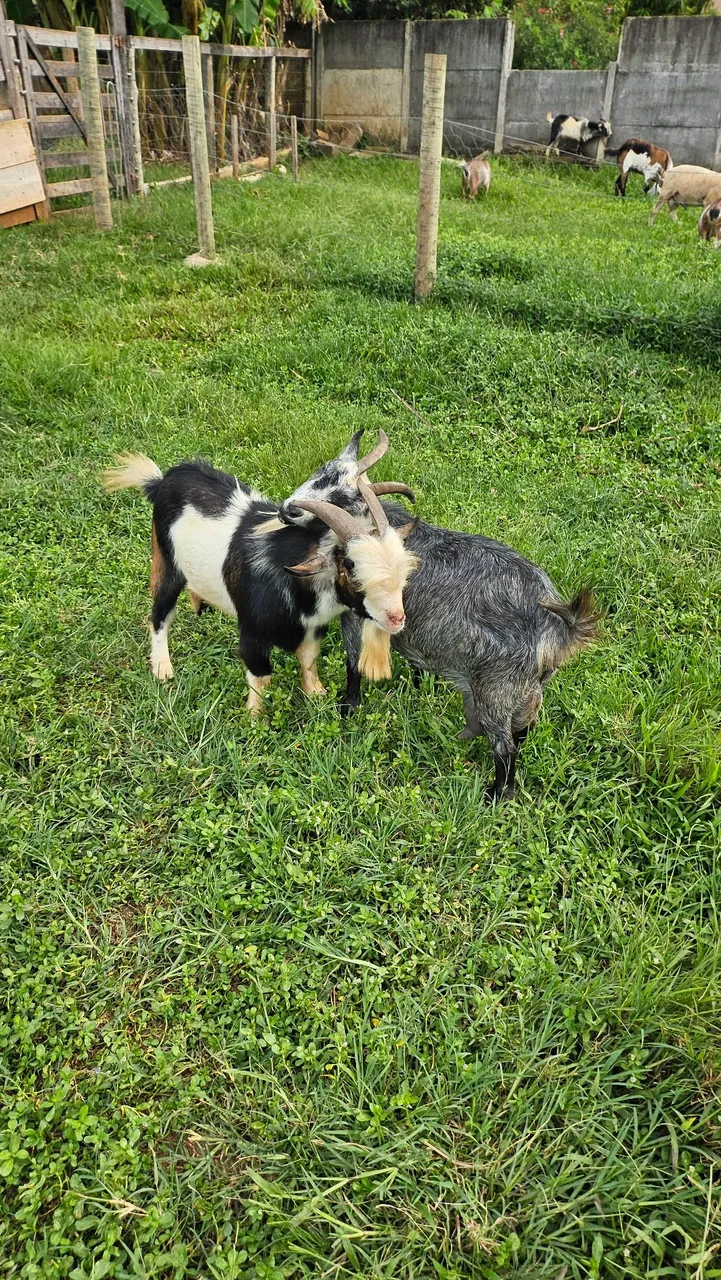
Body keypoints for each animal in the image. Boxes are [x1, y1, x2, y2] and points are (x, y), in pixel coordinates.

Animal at [102, 433, 418, 716]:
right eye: (350, 565)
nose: (396, 618)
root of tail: (162, 481)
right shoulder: (252, 632)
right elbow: (261, 674)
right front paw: (255, 719)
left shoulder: (314, 628)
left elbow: (309, 659)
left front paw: (316, 695)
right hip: (166, 560)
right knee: (160, 613)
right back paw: (163, 669)